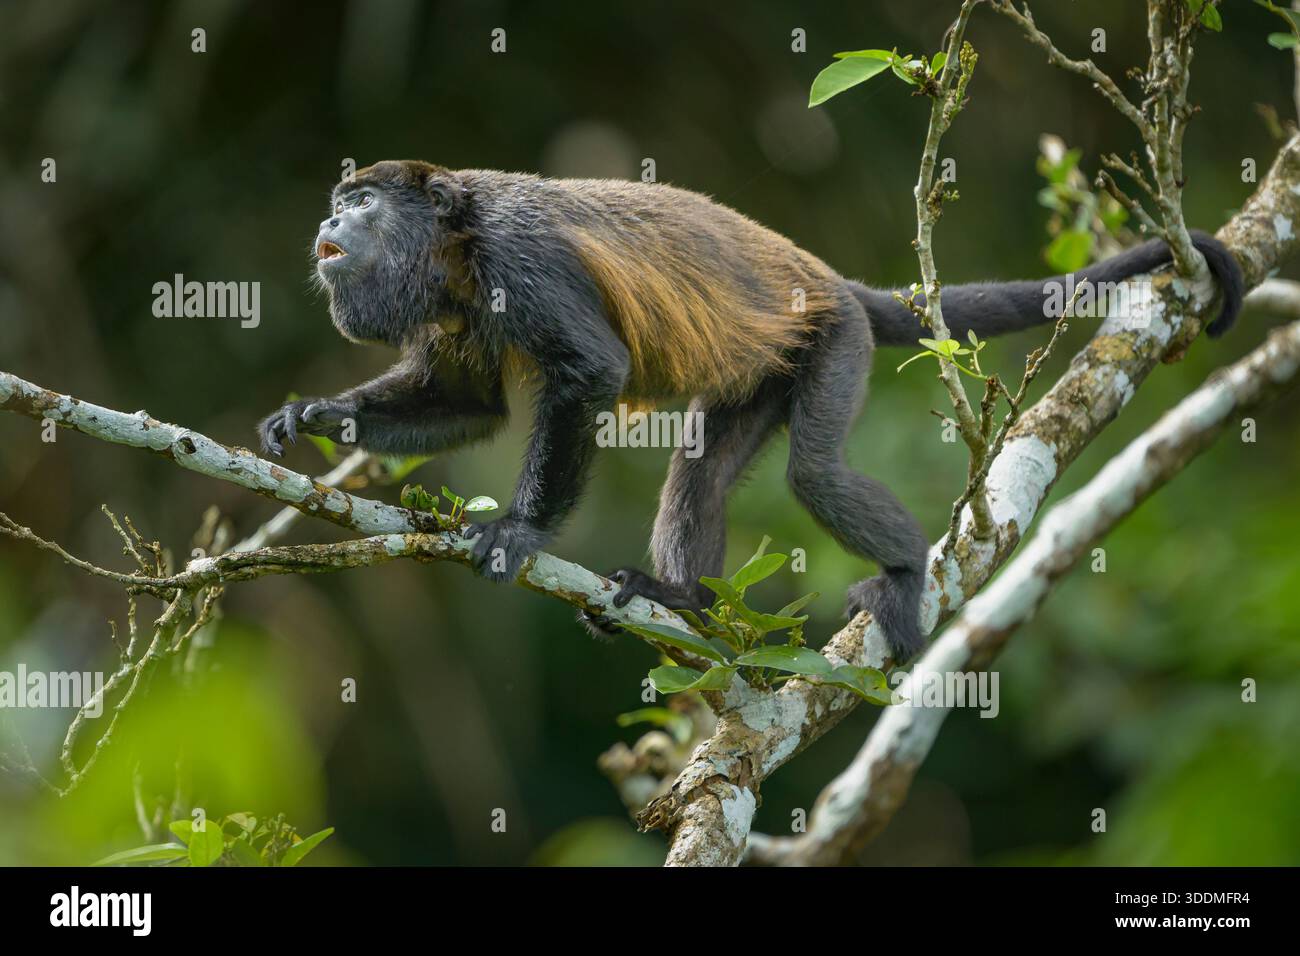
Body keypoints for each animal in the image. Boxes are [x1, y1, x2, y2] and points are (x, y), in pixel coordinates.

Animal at [258, 159, 1243, 662]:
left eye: (361, 200)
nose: (327, 219)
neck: (454, 243)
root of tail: (833, 280)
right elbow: (468, 403)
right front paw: (314, 416)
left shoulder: (517, 254)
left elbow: (593, 370)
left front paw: (522, 532)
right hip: (768, 370)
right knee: (699, 472)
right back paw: (684, 600)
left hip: (835, 341)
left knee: (814, 471)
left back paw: (903, 575)